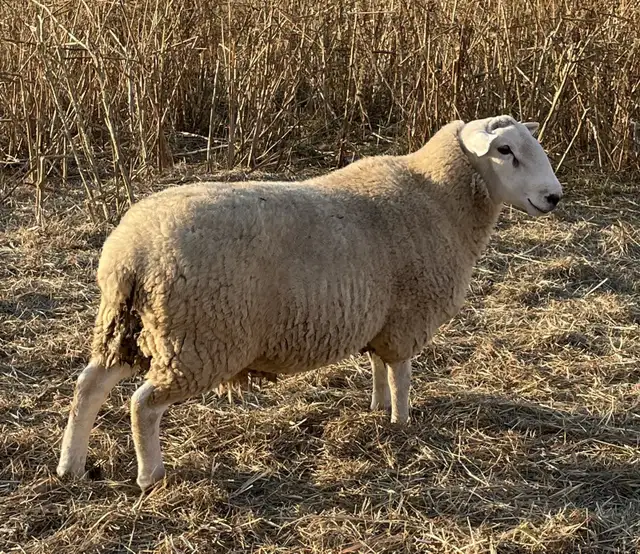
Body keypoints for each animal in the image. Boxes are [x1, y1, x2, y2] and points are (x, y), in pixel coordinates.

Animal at [56, 115, 563, 490]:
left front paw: (377, 409)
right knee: (142, 405)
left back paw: (71, 466)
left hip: (129, 328)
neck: (437, 196)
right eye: (505, 151)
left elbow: (378, 366)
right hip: (199, 339)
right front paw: (402, 422)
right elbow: (400, 375)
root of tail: (132, 252)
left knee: (88, 387)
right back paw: (150, 475)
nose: (554, 197)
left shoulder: (380, 316)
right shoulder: (407, 316)